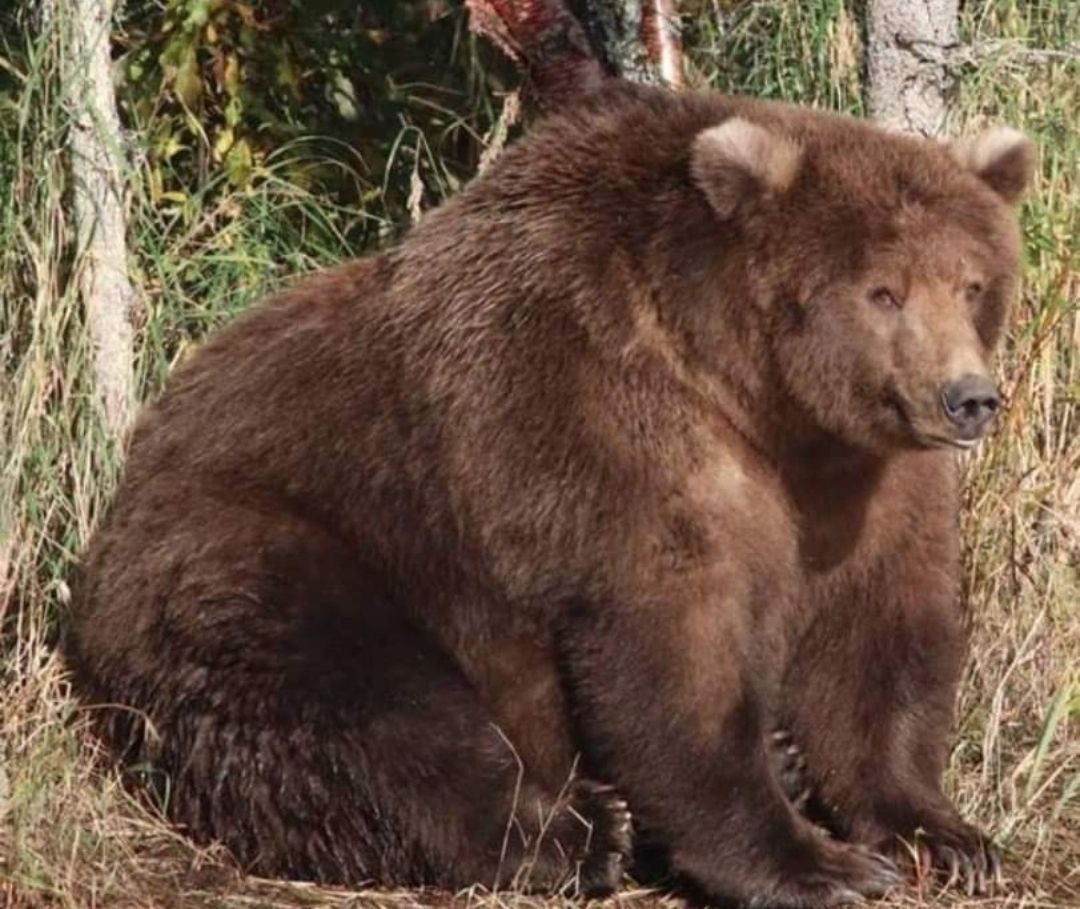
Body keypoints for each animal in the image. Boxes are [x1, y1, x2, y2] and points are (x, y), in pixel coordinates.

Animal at [65, 82, 1033, 907]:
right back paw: (580, 833)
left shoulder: (864, 481)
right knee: (361, 707)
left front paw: (941, 834)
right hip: (267, 546)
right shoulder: (596, 418)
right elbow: (673, 645)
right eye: (883, 290)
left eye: (973, 282)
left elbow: (879, 635)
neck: (756, 396)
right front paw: (816, 861)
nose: (968, 398)